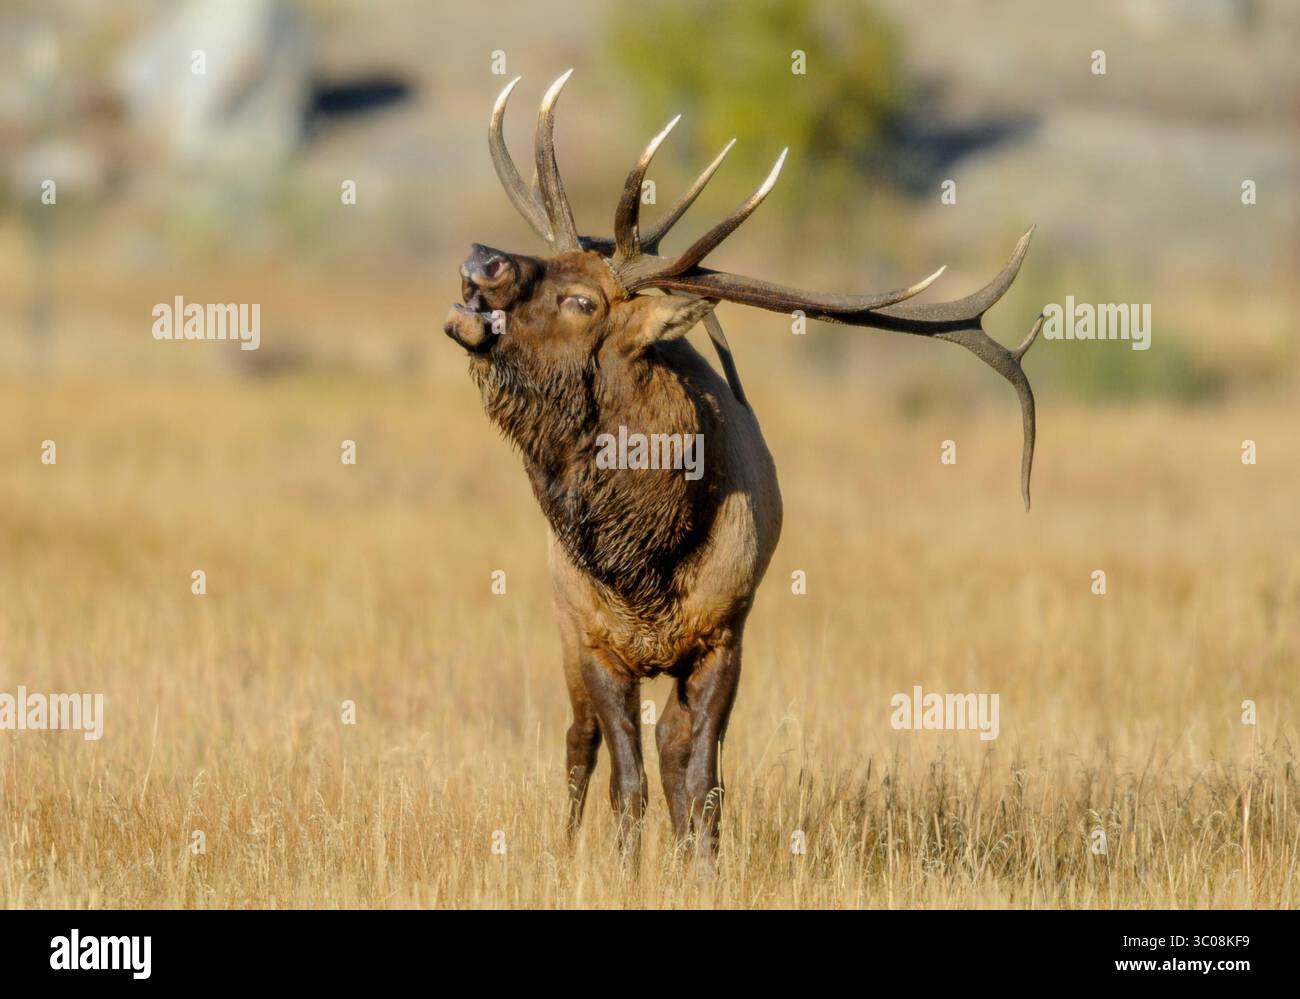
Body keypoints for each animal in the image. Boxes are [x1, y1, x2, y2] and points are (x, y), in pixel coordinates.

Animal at [442, 71, 1043, 863]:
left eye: (582, 300)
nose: (483, 259)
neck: (647, 564)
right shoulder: (595, 635)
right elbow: (624, 780)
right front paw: (622, 865)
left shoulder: (727, 630)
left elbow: (698, 776)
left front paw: (703, 866)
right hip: (563, 622)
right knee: (579, 742)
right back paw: (568, 843)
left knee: (674, 748)